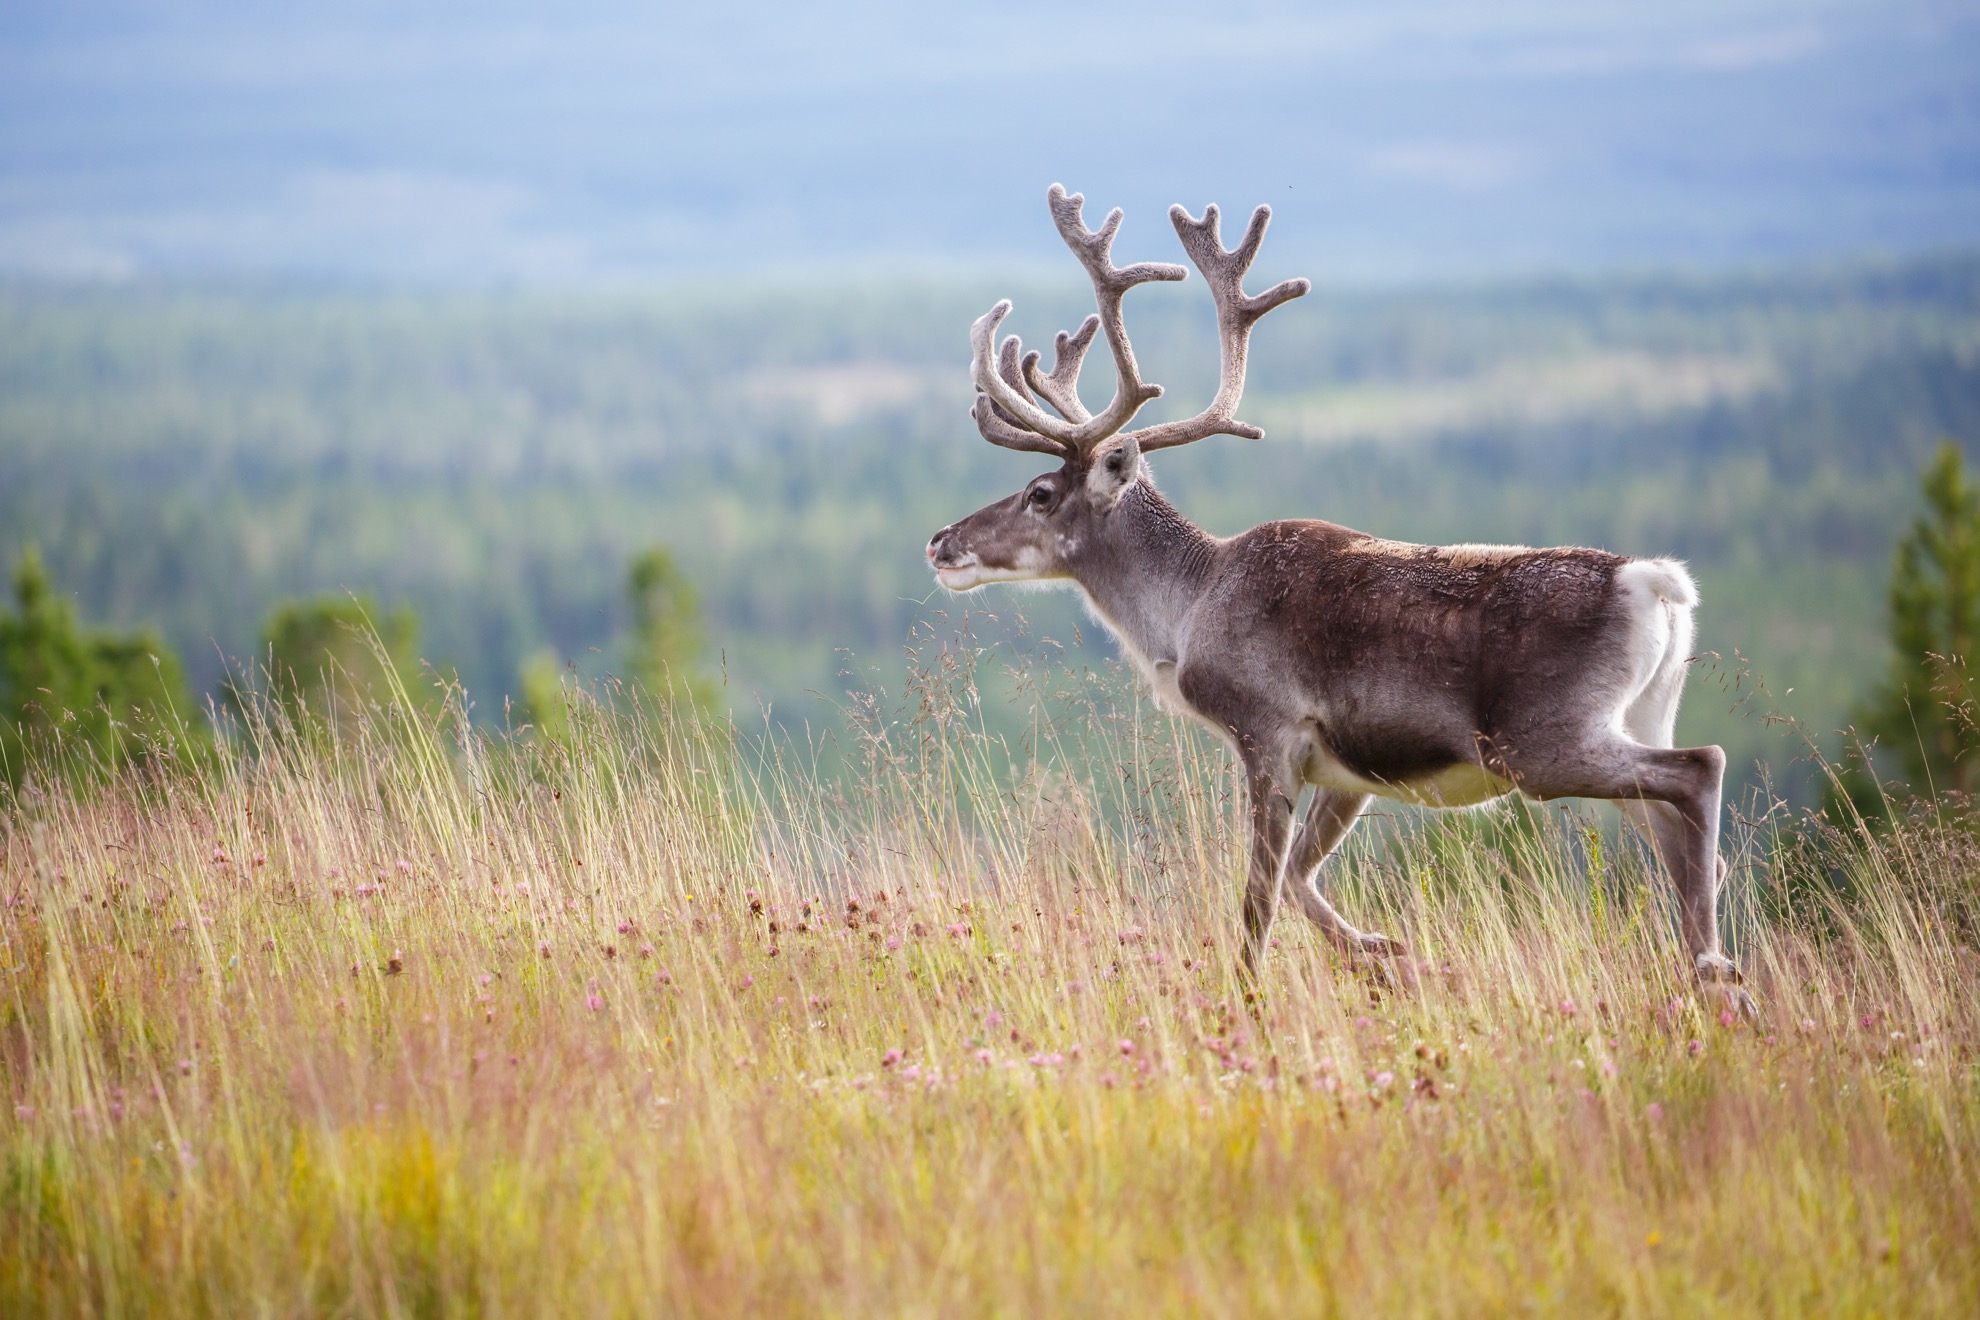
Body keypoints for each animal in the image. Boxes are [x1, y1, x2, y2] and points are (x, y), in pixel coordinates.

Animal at [925, 184, 1753, 1012]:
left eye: (1039, 494)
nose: (940, 541)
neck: (1185, 613)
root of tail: (1651, 584)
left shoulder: (1268, 733)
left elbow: (1259, 896)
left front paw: (1253, 995)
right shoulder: (1349, 766)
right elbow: (1299, 879)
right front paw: (1388, 954)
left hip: (1542, 741)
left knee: (1701, 767)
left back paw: (1716, 966)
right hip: (1633, 715)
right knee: (1687, 840)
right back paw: (1711, 975)